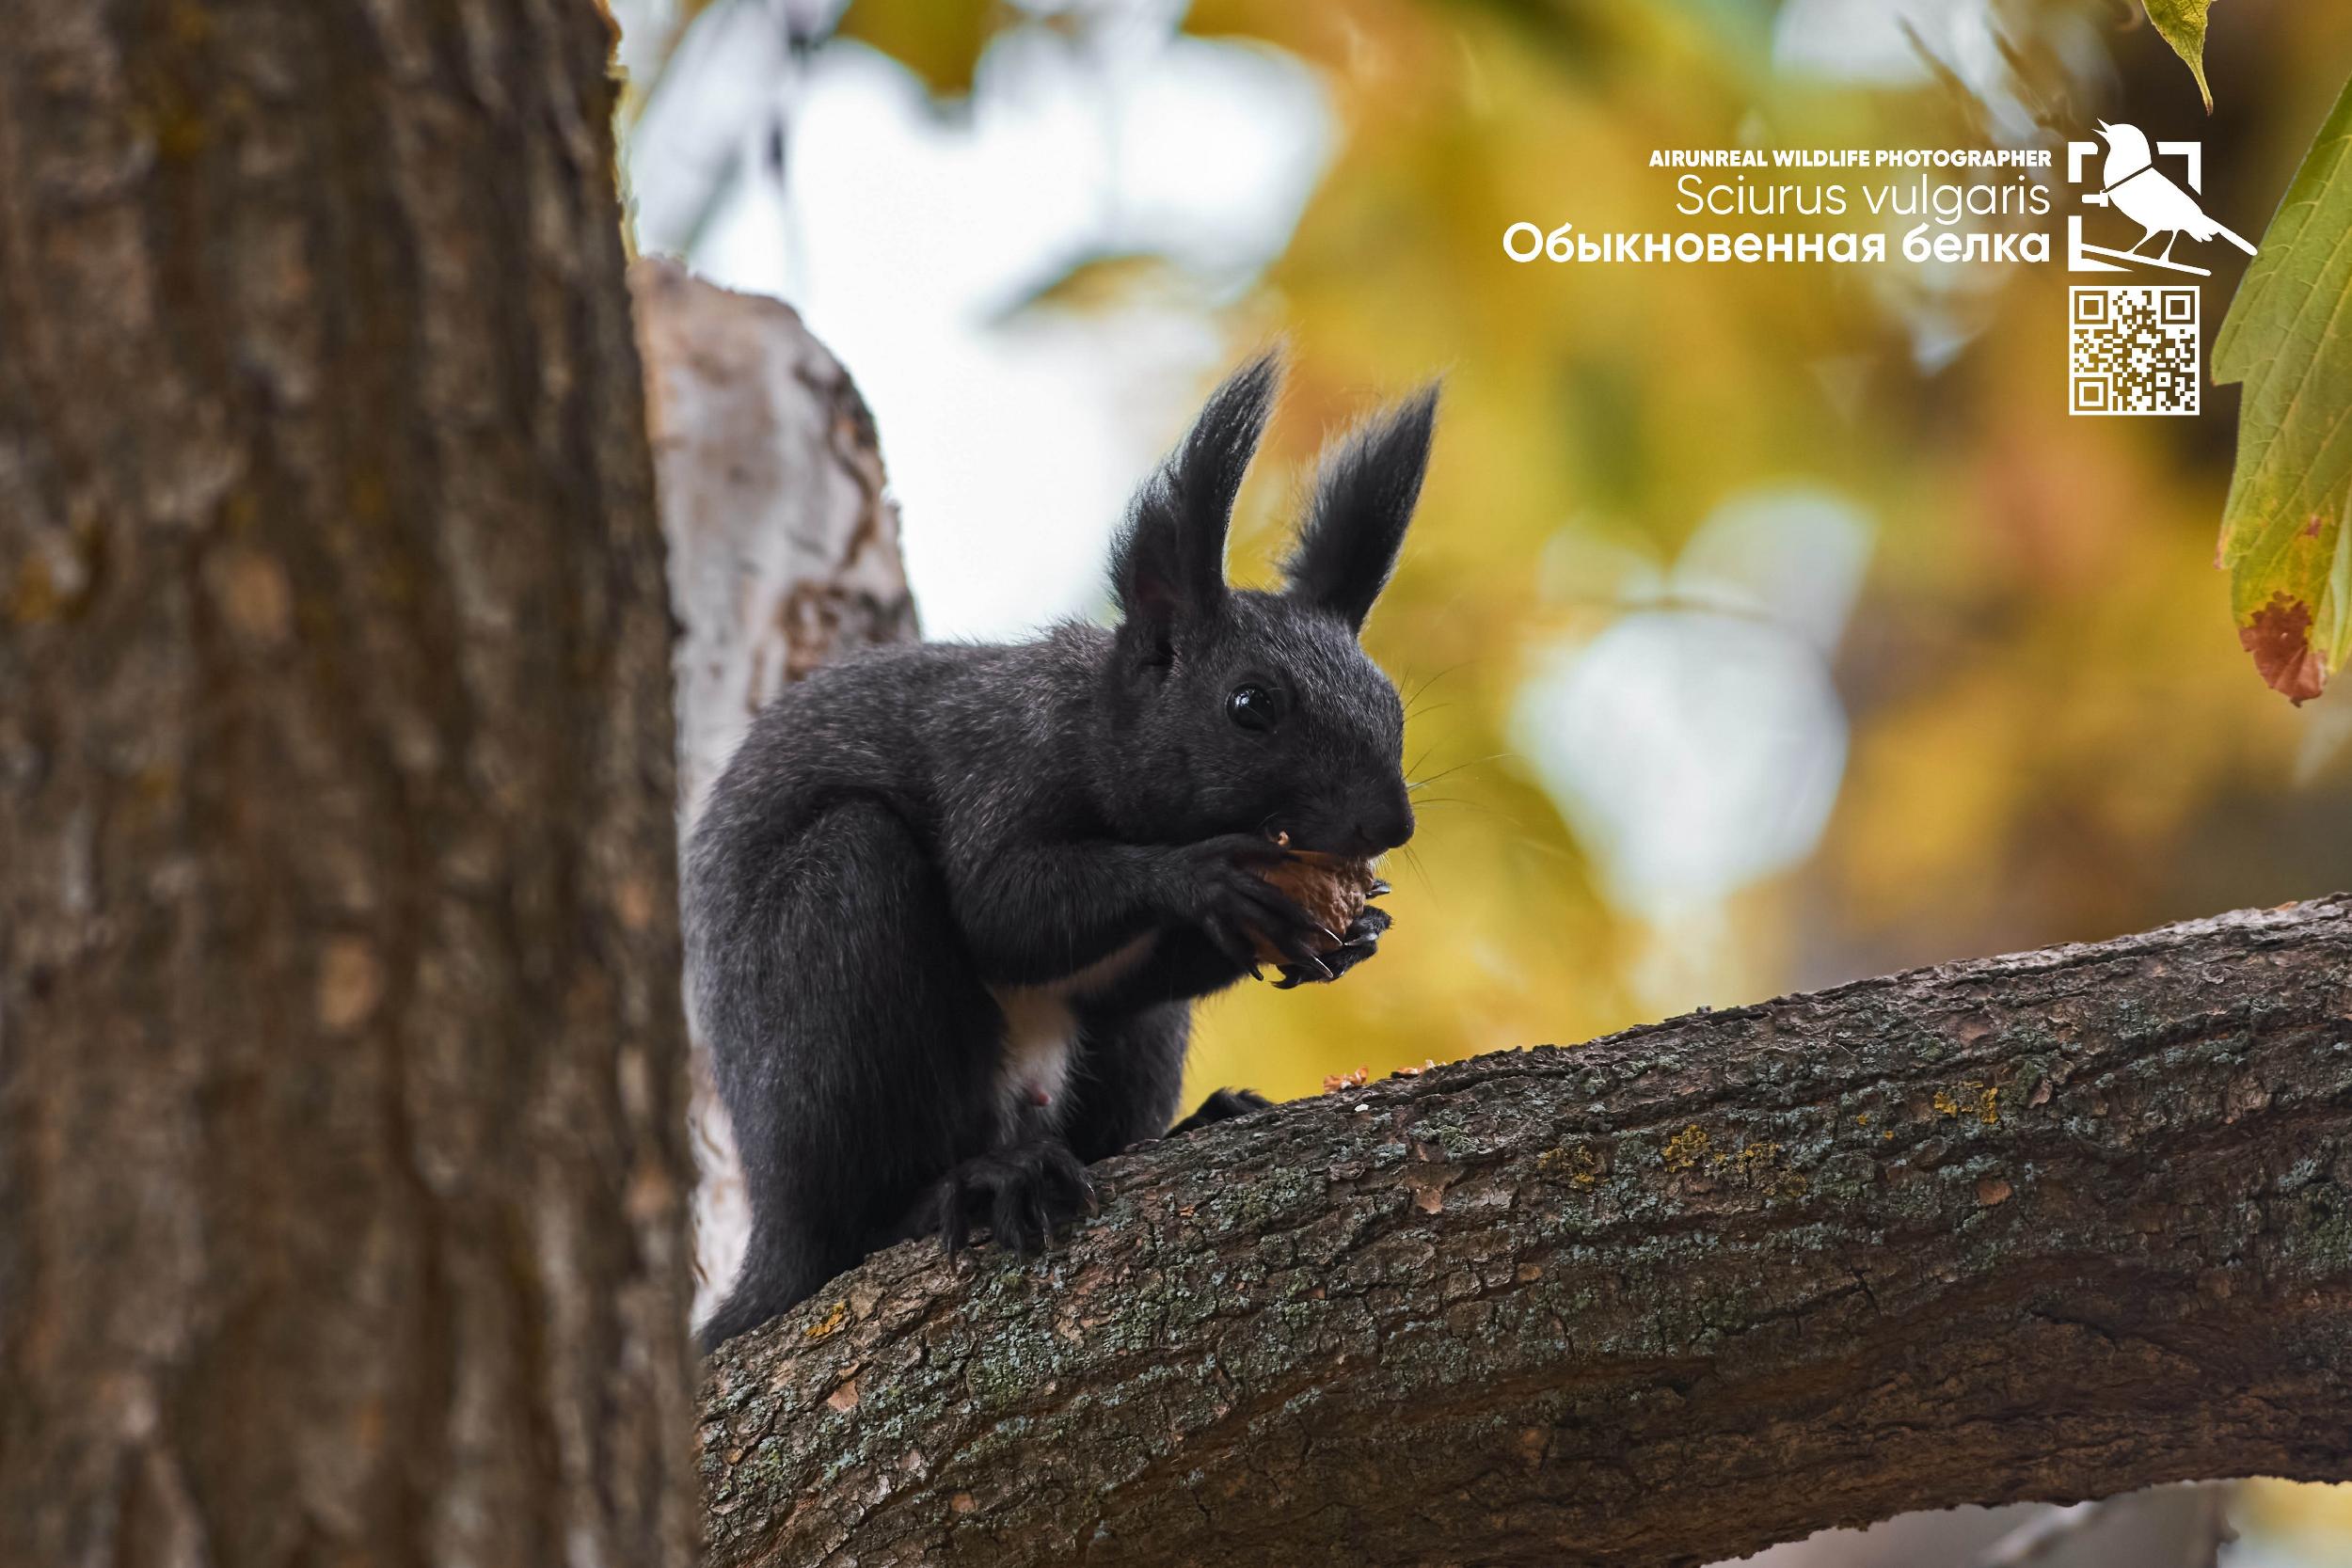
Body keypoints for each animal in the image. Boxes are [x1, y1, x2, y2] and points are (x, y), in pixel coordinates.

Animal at [685, 353, 1436, 1350]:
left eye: (1390, 702)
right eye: (1251, 706)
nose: (1390, 825)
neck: (1096, 723)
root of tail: (772, 1230)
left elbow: (1121, 974)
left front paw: (1357, 930)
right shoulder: (998, 766)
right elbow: (1002, 912)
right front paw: (1203, 878)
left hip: (1126, 1055)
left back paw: (1192, 1123)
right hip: (837, 950)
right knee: (858, 1218)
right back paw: (966, 1188)